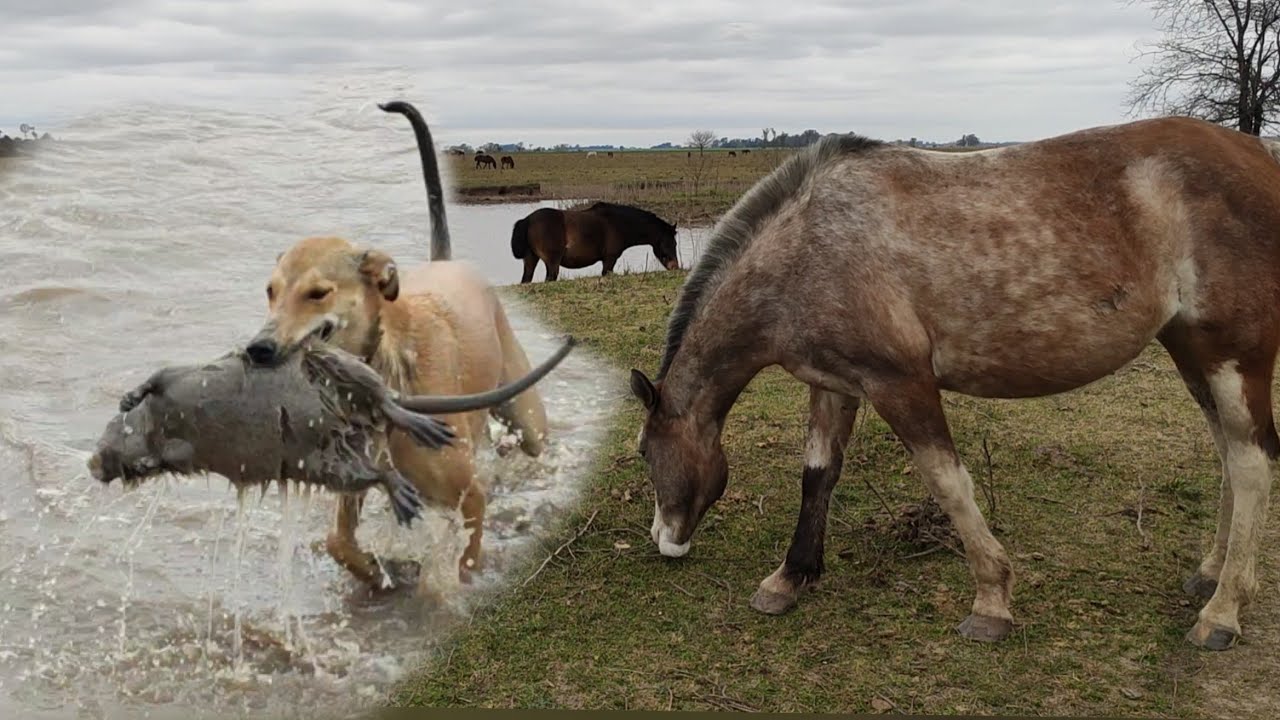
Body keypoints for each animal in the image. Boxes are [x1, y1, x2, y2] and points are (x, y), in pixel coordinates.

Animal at [510, 201, 679, 283]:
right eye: (671, 243)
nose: (675, 267)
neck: (618, 223)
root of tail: (528, 219)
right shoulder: (609, 260)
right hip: (552, 263)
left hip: (531, 259)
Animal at [627, 116, 1280, 653]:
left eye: (643, 453)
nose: (666, 541)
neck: (811, 247)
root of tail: (1259, 156)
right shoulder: (835, 383)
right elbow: (818, 474)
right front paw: (790, 577)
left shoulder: (901, 384)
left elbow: (948, 482)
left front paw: (991, 601)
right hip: (1191, 353)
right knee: (1228, 455)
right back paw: (1211, 575)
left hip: (1233, 356)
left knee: (1251, 465)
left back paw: (1222, 614)